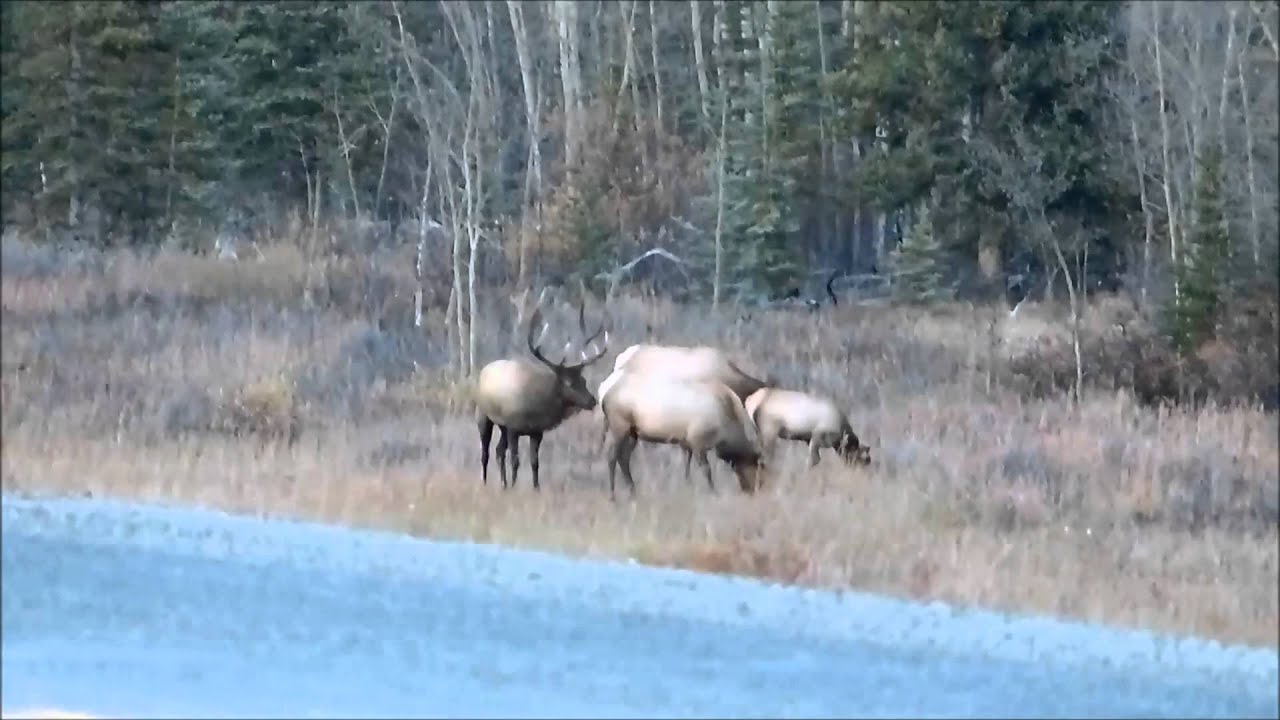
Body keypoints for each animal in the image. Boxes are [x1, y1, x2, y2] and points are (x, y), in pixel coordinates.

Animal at [474, 291, 609, 491]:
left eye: (583, 380)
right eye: (568, 382)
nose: (591, 401)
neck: (537, 406)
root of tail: (484, 370)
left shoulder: (536, 431)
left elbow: (534, 462)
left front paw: (535, 488)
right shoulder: (513, 427)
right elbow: (515, 460)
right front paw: (515, 486)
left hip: (502, 425)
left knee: (499, 451)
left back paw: (503, 484)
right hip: (484, 415)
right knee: (486, 452)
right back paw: (485, 482)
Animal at [600, 371, 767, 500]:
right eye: (758, 467)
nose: (754, 491)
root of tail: (605, 398)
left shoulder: (686, 442)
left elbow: (686, 468)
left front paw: (688, 487)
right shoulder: (697, 440)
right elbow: (706, 470)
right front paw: (713, 493)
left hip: (632, 432)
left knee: (624, 458)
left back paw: (632, 492)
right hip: (619, 427)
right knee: (611, 455)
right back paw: (613, 497)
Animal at [743, 387, 872, 469]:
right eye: (864, 460)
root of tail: (750, 400)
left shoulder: (808, 439)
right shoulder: (817, 436)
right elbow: (813, 460)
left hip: (759, 431)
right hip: (769, 431)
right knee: (765, 456)